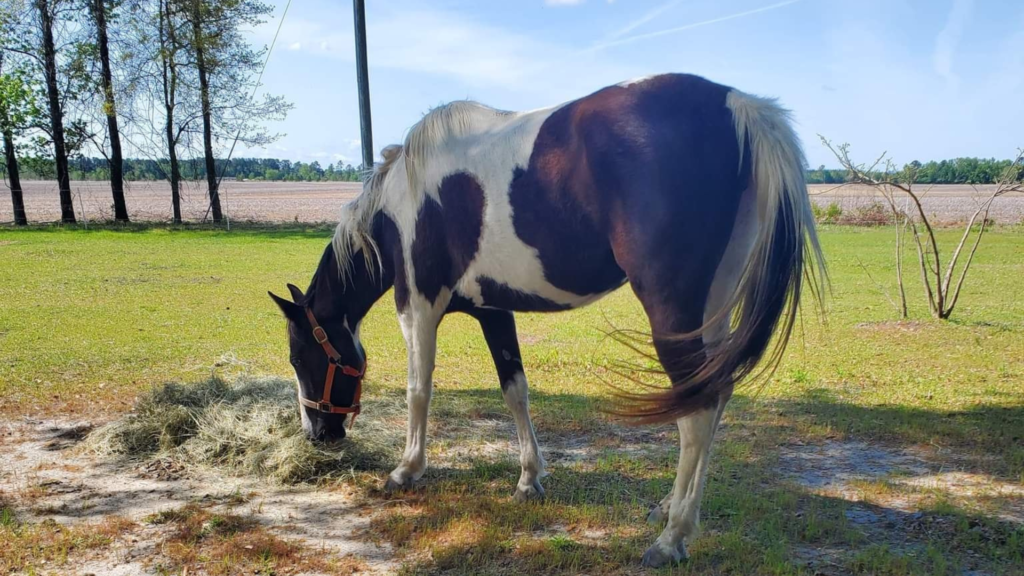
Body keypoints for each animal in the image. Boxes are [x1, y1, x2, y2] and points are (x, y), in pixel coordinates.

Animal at [269, 73, 825, 567]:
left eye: (300, 357)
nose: (316, 434)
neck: (403, 199)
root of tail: (735, 104)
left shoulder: (418, 303)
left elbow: (418, 388)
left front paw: (406, 470)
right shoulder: (494, 310)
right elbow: (515, 389)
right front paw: (528, 479)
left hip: (672, 311)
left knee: (698, 410)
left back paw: (672, 538)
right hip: (711, 309)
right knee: (714, 393)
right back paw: (671, 509)